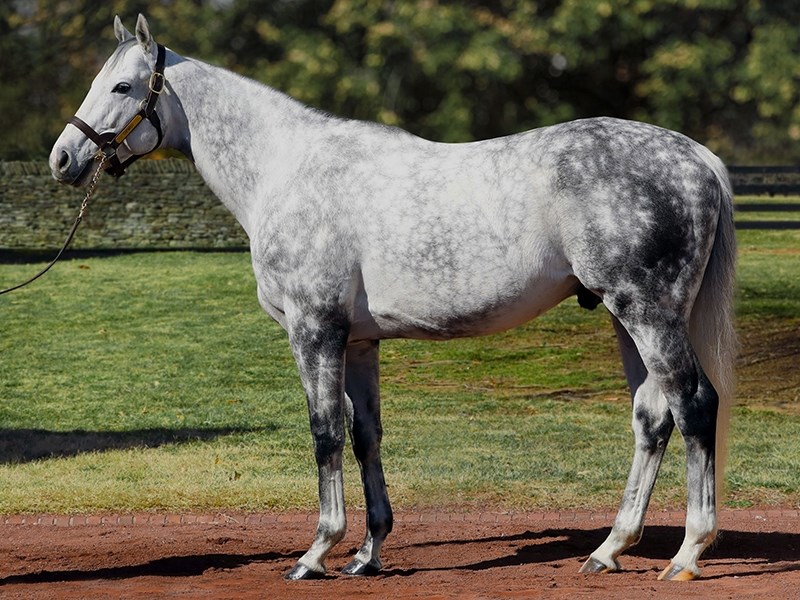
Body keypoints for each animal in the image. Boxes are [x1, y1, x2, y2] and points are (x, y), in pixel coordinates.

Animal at [49, 15, 736, 582]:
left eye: (122, 88)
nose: (62, 158)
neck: (284, 170)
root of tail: (698, 157)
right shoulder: (358, 341)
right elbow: (365, 436)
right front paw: (368, 553)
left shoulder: (315, 331)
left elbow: (324, 432)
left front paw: (316, 553)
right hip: (628, 319)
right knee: (652, 418)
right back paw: (609, 549)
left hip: (649, 315)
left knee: (695, 405)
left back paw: (686, 556)